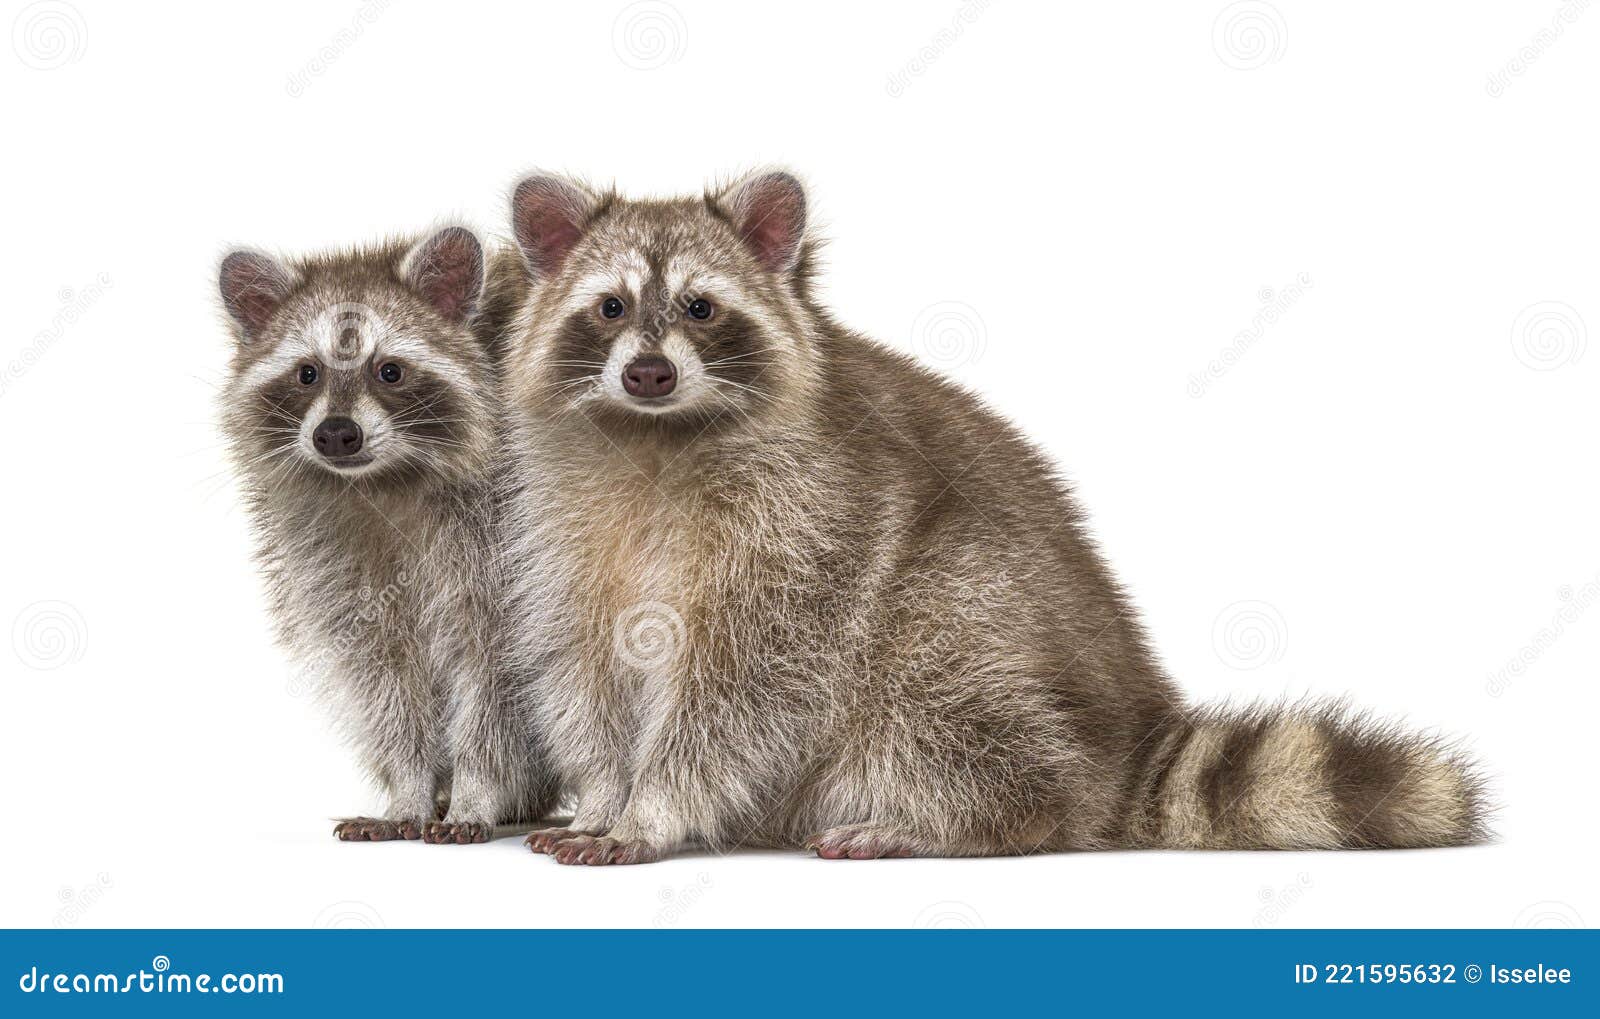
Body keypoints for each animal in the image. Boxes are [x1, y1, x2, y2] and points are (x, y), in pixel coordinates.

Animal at [218, 228, 554, 843]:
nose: (336, 434)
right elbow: (385, 681)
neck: (381, 482)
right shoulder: (331, 555)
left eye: (389, 371)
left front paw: (477, 791)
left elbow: (496, 683)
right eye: (307, 373)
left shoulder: (507, 542)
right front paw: (410, 790)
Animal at [497, 171, 1487, 864]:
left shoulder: (811, 523)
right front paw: (603, 791)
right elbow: (582, 666)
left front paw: (653, 807)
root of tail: (1128, 720)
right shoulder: (562, 529)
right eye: (611, 307)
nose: (649, 371)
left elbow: (743, 685)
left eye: (701, 308)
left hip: (971, 615)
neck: (656, 439)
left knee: (937, 672)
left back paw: (965, 818)